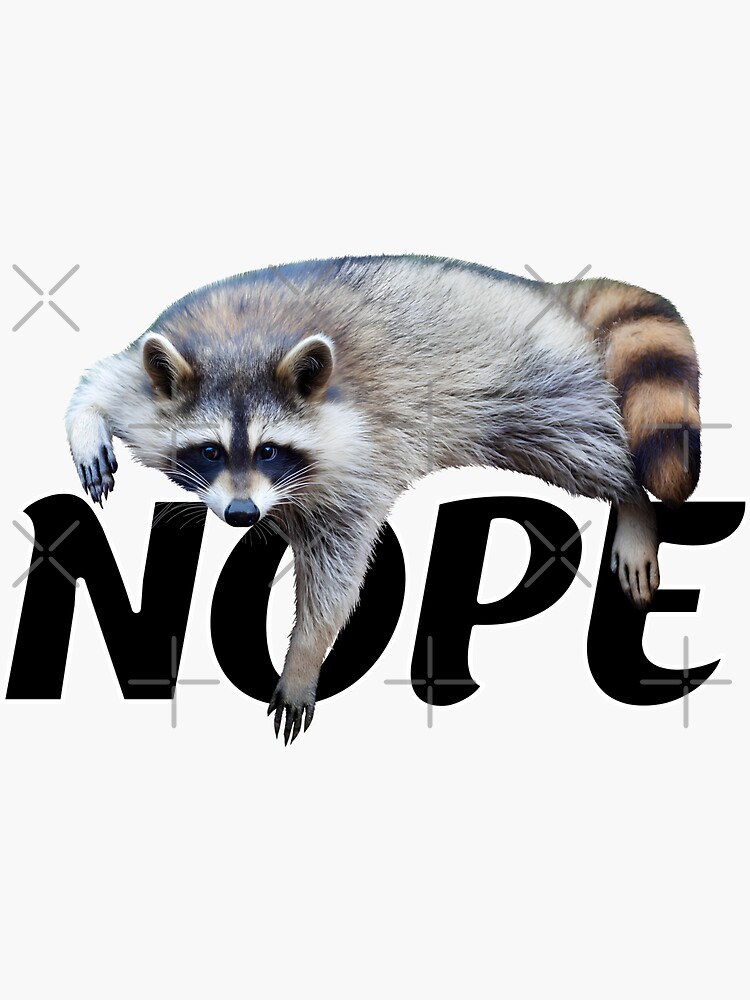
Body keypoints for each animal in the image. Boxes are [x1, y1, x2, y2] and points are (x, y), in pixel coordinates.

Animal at [65, 256, 701, 742]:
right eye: (209, 451)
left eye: (269, 451)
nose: (242, 515)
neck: (245, 342)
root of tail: (543, 290)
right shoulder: (152, 378)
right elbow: (101, 383)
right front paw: (88, 426)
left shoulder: (363, 451)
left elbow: (337, 570)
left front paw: (304, 656)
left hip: (537, 385)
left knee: (589, 448)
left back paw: (633, 501)